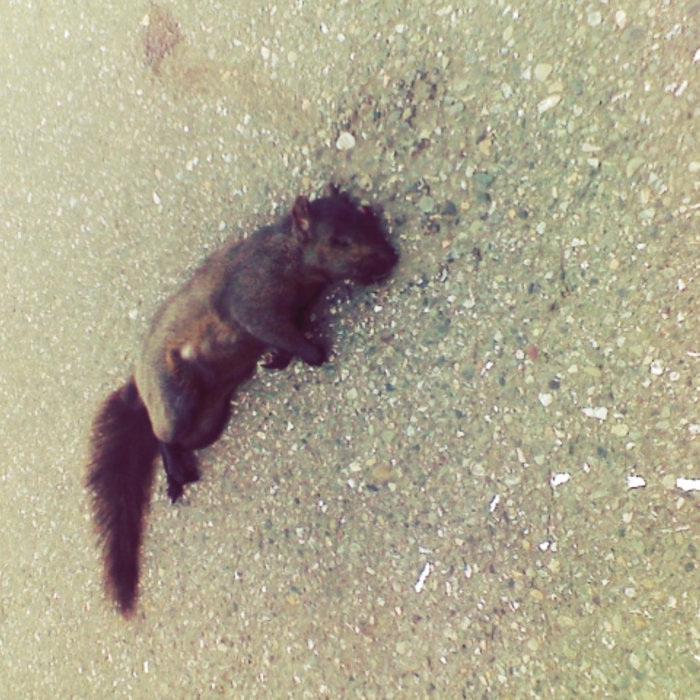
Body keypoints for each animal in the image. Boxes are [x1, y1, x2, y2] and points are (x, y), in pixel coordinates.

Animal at [86, 184, 398, 616]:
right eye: (338, 241)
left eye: (367, 213)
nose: (390, 258)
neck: (288, 256)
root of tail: (140, 390)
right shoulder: (254, 302)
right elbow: (286, 335)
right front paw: (312, 354)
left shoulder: (293, 310)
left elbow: (287, 336)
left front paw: (278, 359)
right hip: (177, 399)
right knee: (163, 435)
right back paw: (176, 475)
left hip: (210, 422)